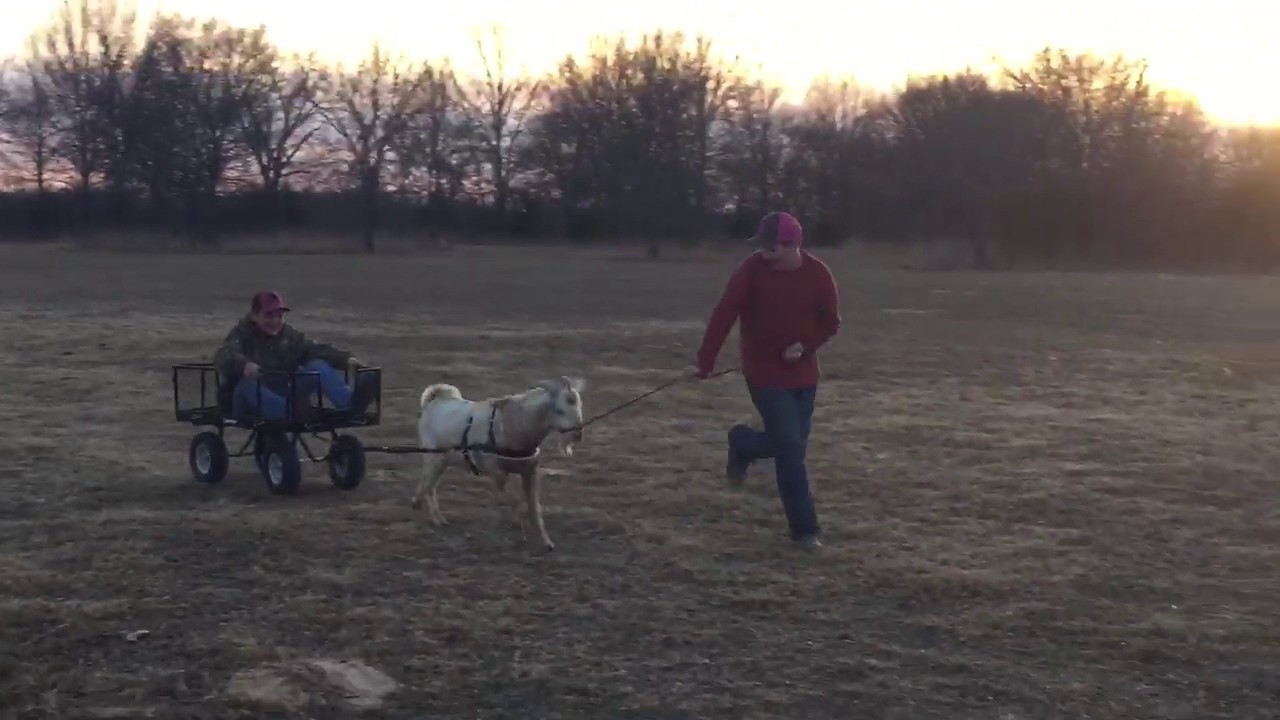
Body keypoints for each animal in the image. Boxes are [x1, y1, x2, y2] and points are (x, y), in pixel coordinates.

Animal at [409, 375, 586, 551]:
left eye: (579, 405)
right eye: (559, 410)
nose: (577, 435)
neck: (514, 424)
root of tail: (434, 401)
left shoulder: (530, 472)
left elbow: (534, 508)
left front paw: (546, 541)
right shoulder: (496, 473)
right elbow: (515, 501)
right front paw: (521, 530)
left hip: (439, 462)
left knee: (425, 479)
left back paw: (417, 503)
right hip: (436, 459)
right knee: (430, 486)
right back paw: (437, 518)